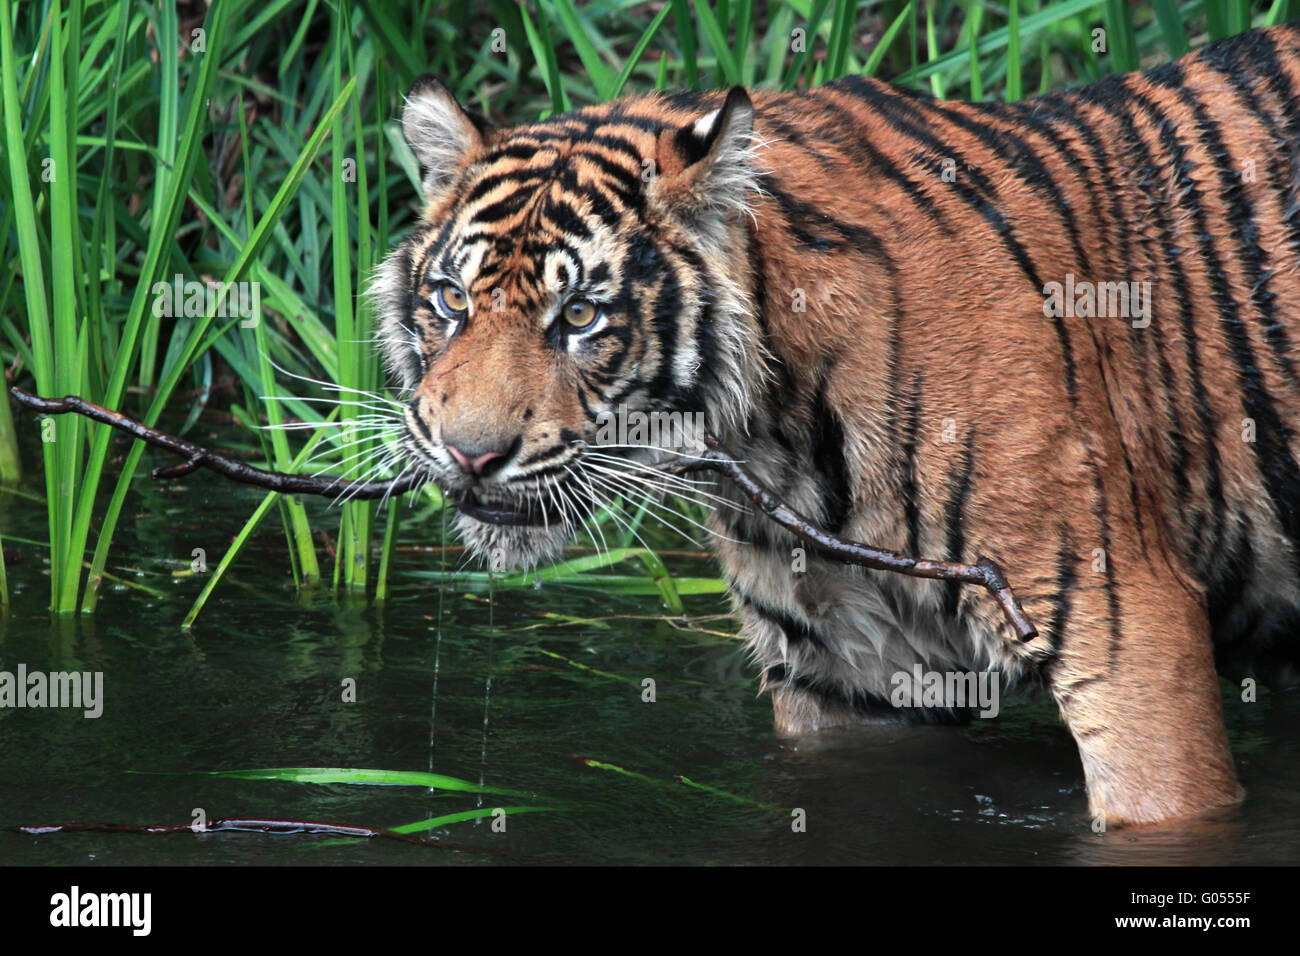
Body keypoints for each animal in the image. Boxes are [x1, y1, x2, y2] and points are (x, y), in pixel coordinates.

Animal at [371, 21, 1300, 828]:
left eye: (580, 315)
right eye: (451, 300)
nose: (470, 454)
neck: (780, 442)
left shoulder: (1131, 630)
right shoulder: (852, 680)